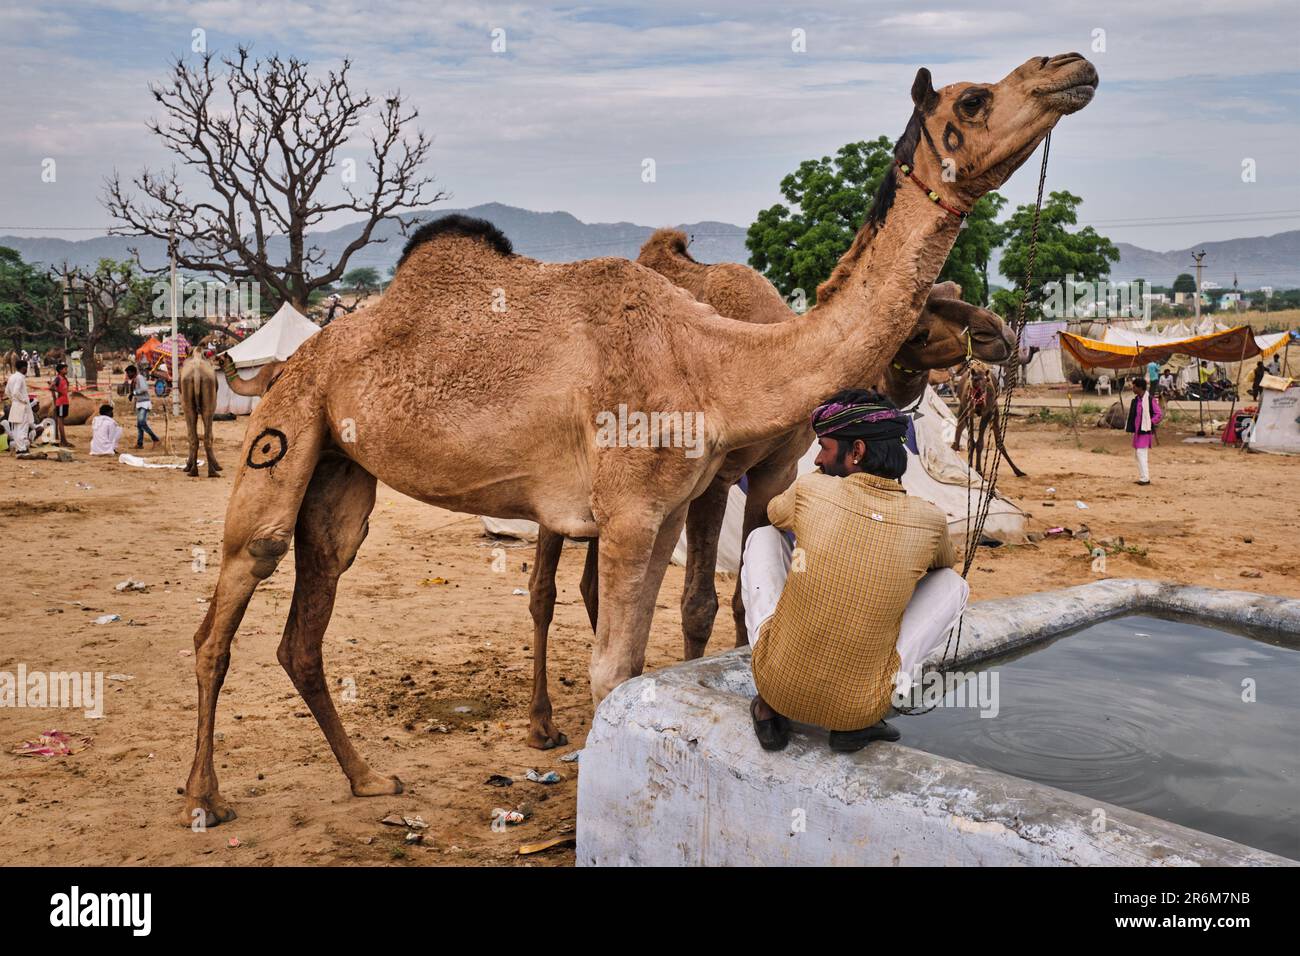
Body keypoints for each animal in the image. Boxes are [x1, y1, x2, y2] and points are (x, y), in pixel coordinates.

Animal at [521, 235, 1016, 749]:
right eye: (922, 318)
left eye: (955, 289)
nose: (997, 332)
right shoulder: (716, 478)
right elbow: (699, 604)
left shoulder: (774, 470)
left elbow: (745, 586)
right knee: (543, 591)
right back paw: (542, 723)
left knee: (591, 583)